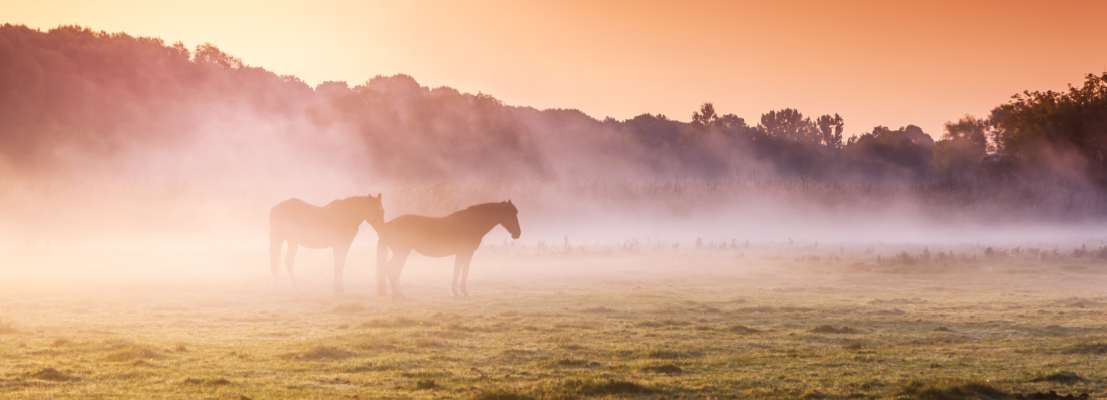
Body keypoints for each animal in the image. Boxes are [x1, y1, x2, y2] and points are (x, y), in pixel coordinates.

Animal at [376, 200, 520, 298]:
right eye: (511, 214)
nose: (517, 234)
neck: (471, 222)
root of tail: (391, 223)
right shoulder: (467, 253)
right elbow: (464, 272)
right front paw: (464, 292)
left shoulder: (460, 253)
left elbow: (456, 271)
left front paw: (454, 291)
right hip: (402, 253)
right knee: (391, 269)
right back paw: (398, 293)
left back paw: (396, 293)